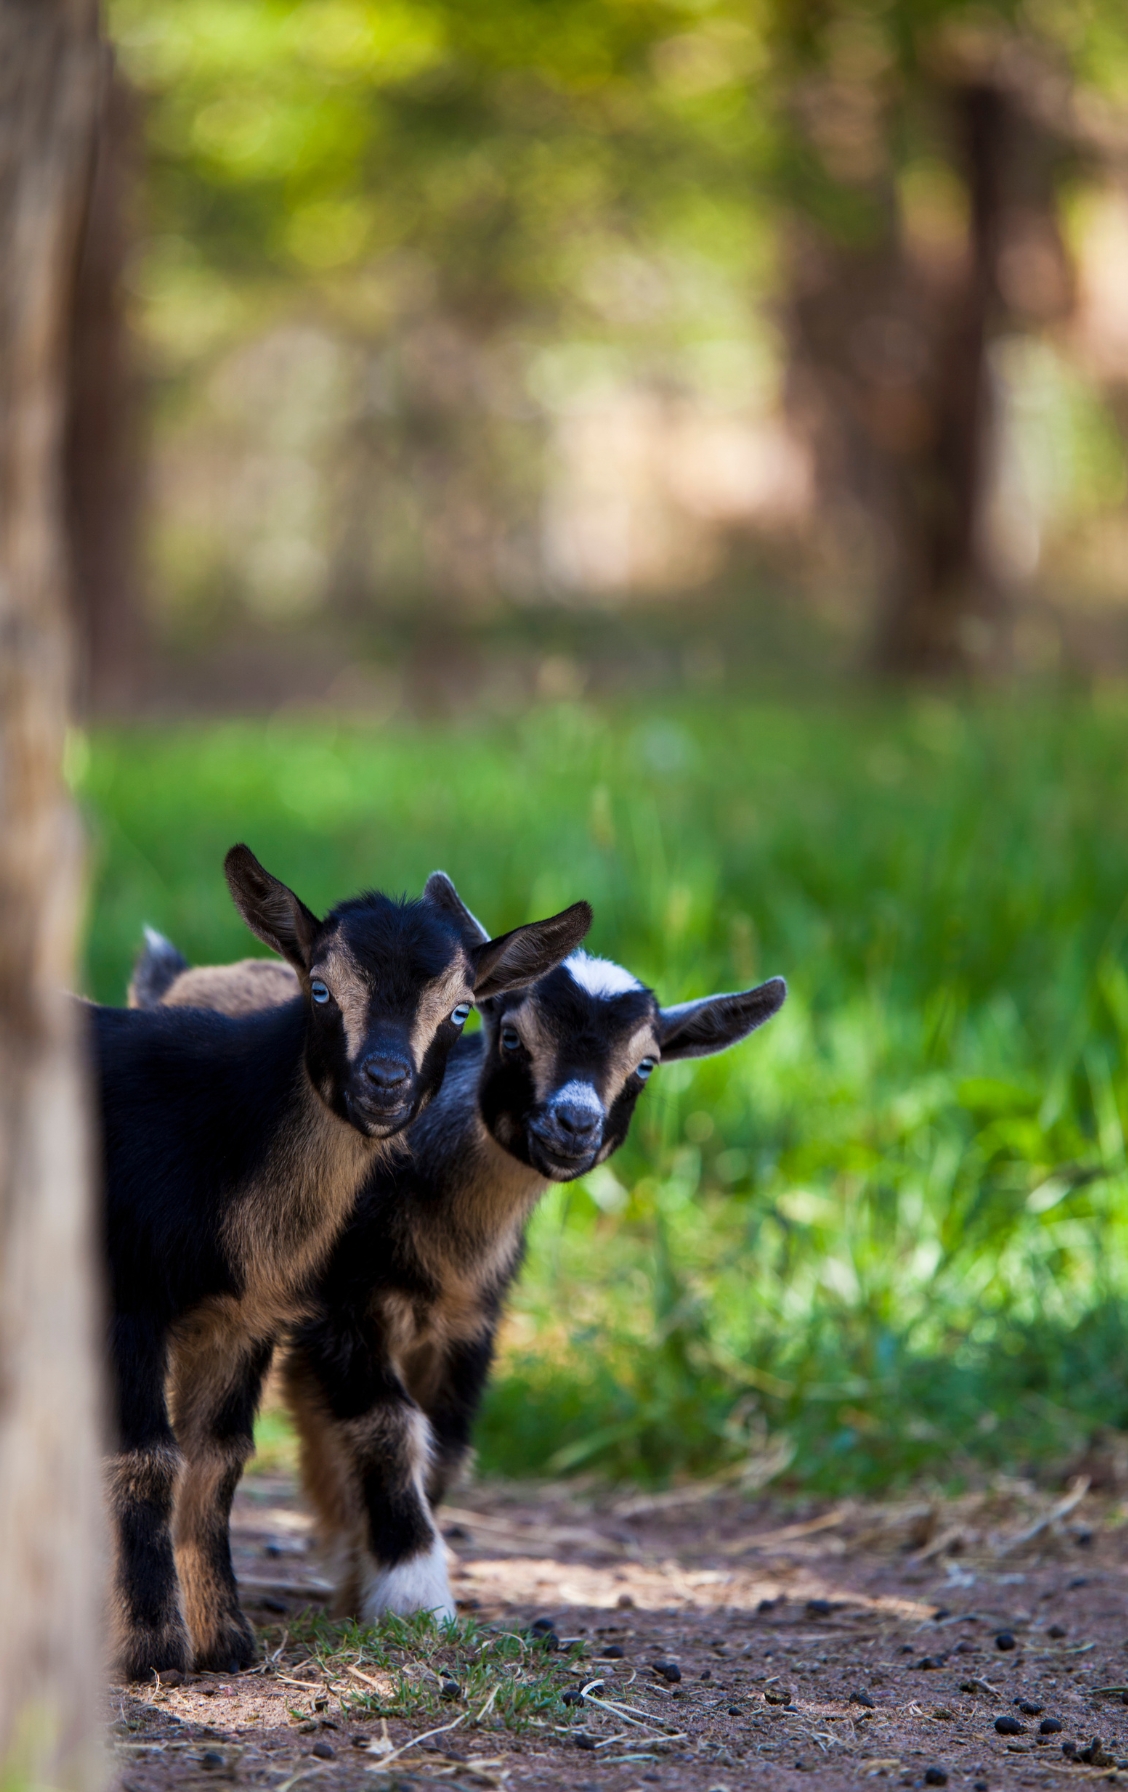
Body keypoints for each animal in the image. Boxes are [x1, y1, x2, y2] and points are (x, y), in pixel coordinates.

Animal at [97, 848, 591, 1679]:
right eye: (321, 989)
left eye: (460, 1011)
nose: (385, 1081)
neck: (217, 1130)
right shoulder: (126, 1294)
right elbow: (145, 1459)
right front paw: (151, 1651)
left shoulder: (243, 1316)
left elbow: (216, 1459)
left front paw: (224, 1641)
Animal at [133, 906, 785, 1626]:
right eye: (512, 1038)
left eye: (645, 1064)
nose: (574, 1124)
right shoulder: (340, 1307)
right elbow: (388, 1427)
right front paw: (412, 1587)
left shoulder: (471, 1322)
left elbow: (445, 1443)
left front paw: (375, 1572)